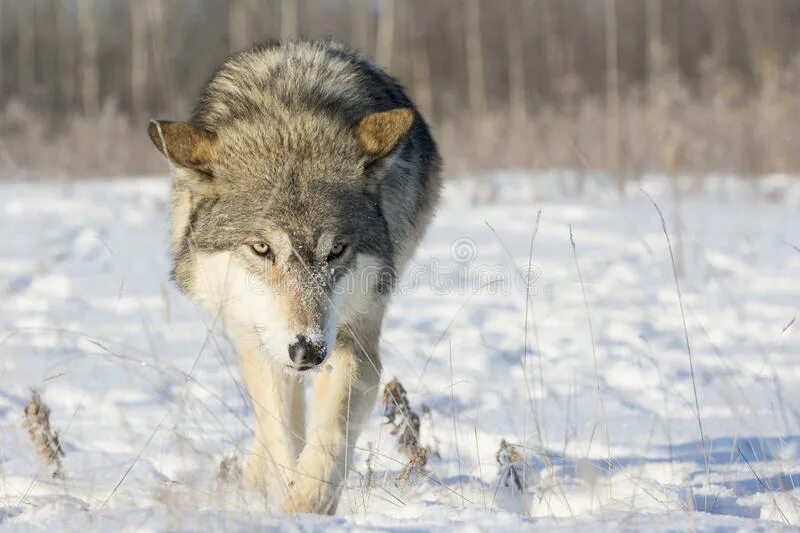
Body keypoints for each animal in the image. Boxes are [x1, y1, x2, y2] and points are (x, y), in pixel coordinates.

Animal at [147, 40, 441, 514]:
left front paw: (306, 506)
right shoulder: (261, 343)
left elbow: (329, 435)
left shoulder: (354, 341)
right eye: (262, 249)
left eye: (336, 250)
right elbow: (283, 433)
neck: (291, 115)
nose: (308, 351)